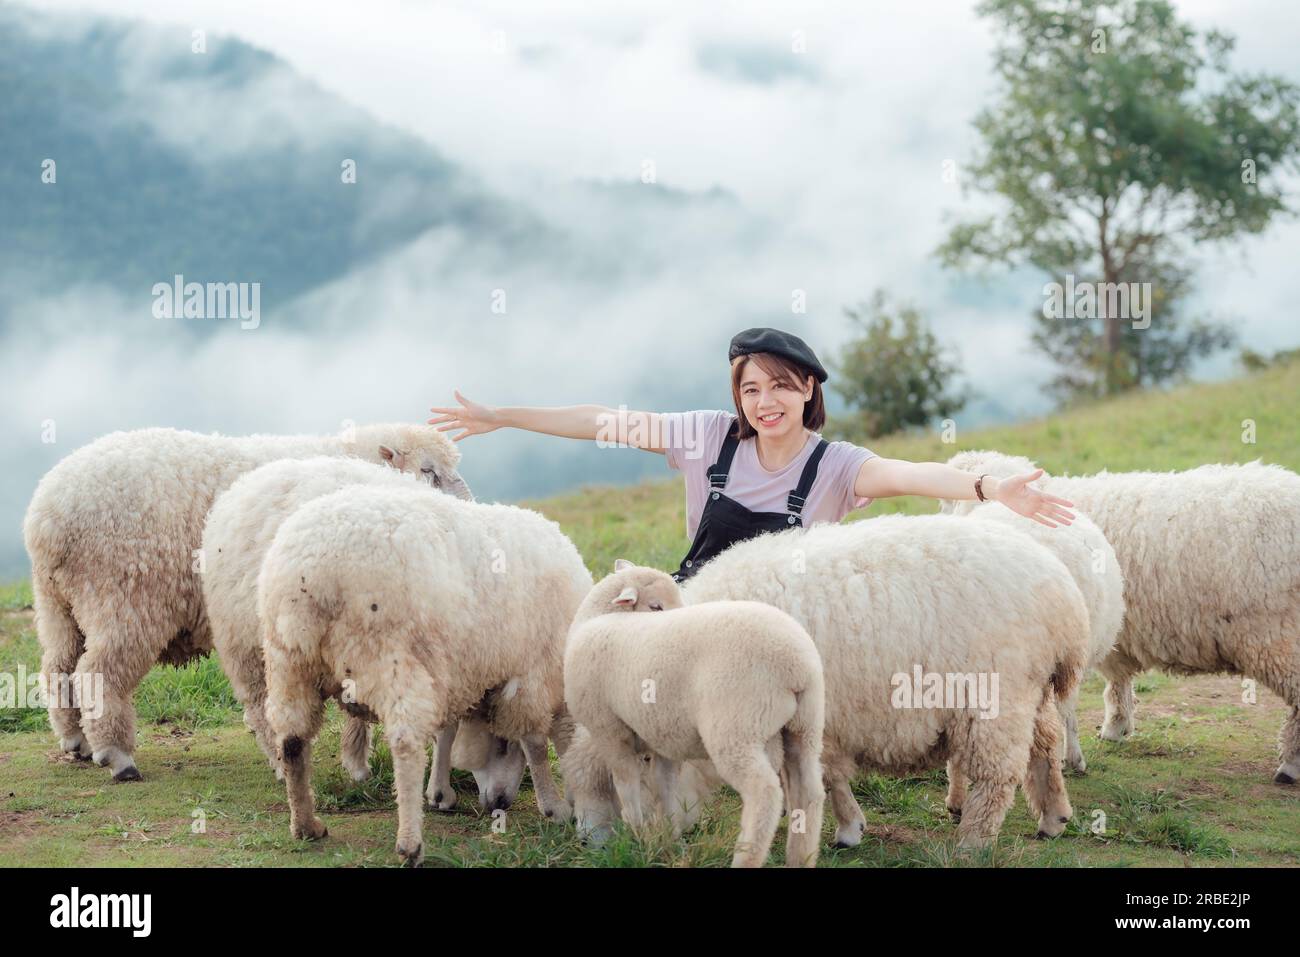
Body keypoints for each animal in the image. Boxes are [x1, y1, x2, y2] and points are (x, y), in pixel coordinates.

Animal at [24, 422, 467, 783]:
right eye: (429, 470)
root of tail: (47, 516)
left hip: (60, 605)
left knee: (59, 667)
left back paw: (76, 741)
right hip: (123, 600)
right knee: (98, 673)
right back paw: (117, 756)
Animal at [202, 456, 521, 810]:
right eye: (503, 739)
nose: (501, 802)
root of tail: (248, 481)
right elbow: (446, 727)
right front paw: (440, 792)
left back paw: (355, 764)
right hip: (246, 644)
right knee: (262, 710)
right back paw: (282, 764)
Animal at [258, 484, 591, 865]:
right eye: (502, 744)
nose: (499, 803)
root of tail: (312, 569)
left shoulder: (453, 672)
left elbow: (446, 732)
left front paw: (439, 792)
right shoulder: (531, 672)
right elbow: (537, 743)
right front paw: (556, 805)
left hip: (288, 662)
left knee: (292, 740)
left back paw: (306, 825)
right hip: (389, 656)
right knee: (404, 742)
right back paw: (409, 843)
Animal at [563, 562, 825, 867]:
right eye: (656, 605)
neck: (598, 617)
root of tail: (795, 664)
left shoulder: (610, 731)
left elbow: (627, 789)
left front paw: (637, 833)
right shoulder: (660, 738)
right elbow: (664, 789)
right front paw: (667, 840)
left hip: (736, 728)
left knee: (764, 793)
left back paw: (746, 857)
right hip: (804, 727)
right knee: (809, 792)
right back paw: (801, 857)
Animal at [676, 514, 1091, 850]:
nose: (668, 837)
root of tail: (1063, 592)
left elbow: (825, 778)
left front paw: (846, 830)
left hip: (995, 695)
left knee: (998, 774)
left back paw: (973, 841)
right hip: (1030, 690)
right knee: (1044, 744)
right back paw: (1054, 818)